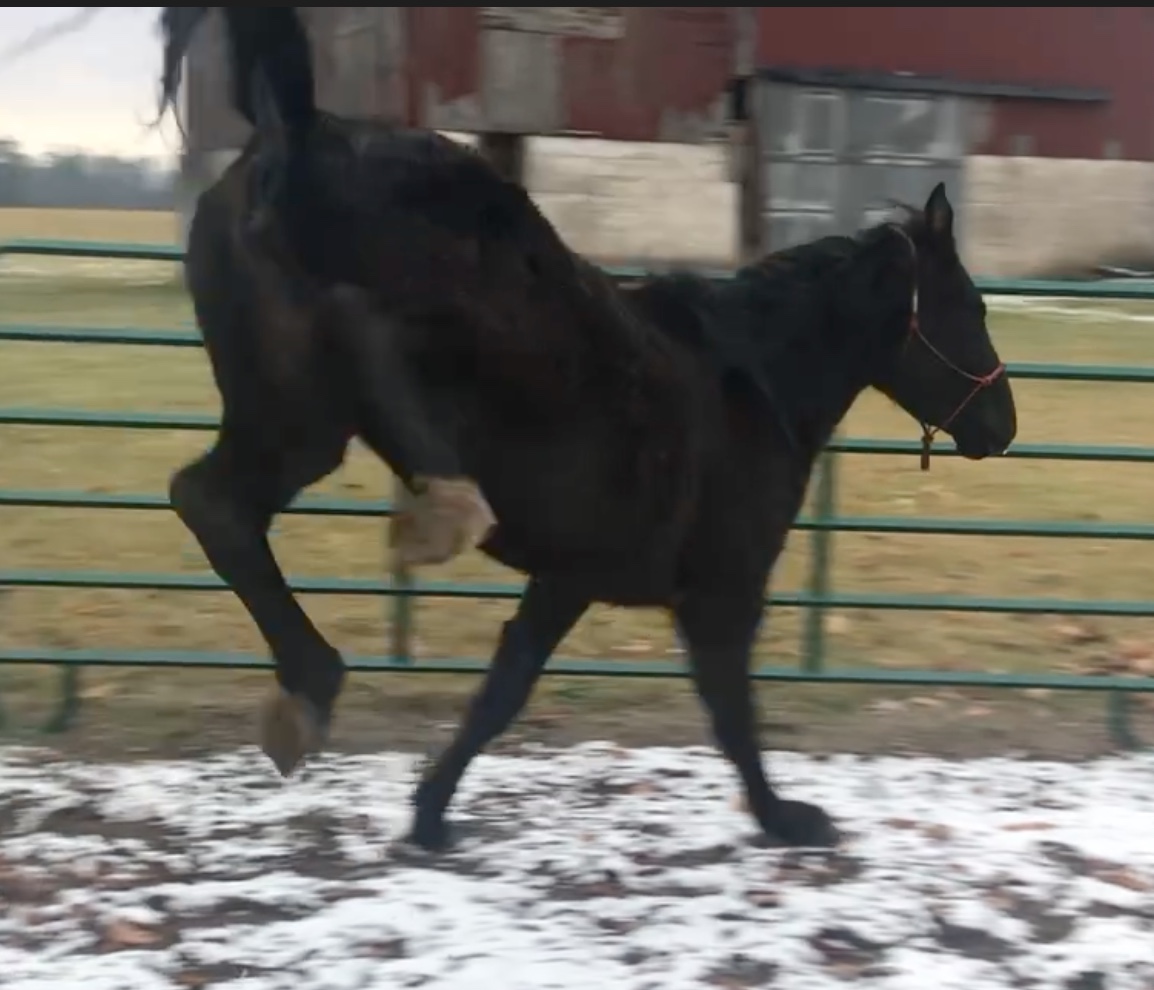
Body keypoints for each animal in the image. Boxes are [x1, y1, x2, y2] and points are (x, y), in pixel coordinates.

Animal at [157, 8, 1016, 852]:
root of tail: (298, 130)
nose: (1003, 425)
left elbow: (505, 687)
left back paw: (313, 684)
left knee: (212, 503)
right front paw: (786, 818)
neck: (755, 385)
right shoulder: (718, 592)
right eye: (971, 308)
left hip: (279, 416)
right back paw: (418, 541)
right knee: (347, 366)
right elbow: (731, 712)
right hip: (348, 384)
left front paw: (429, 815)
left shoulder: (567, 578)